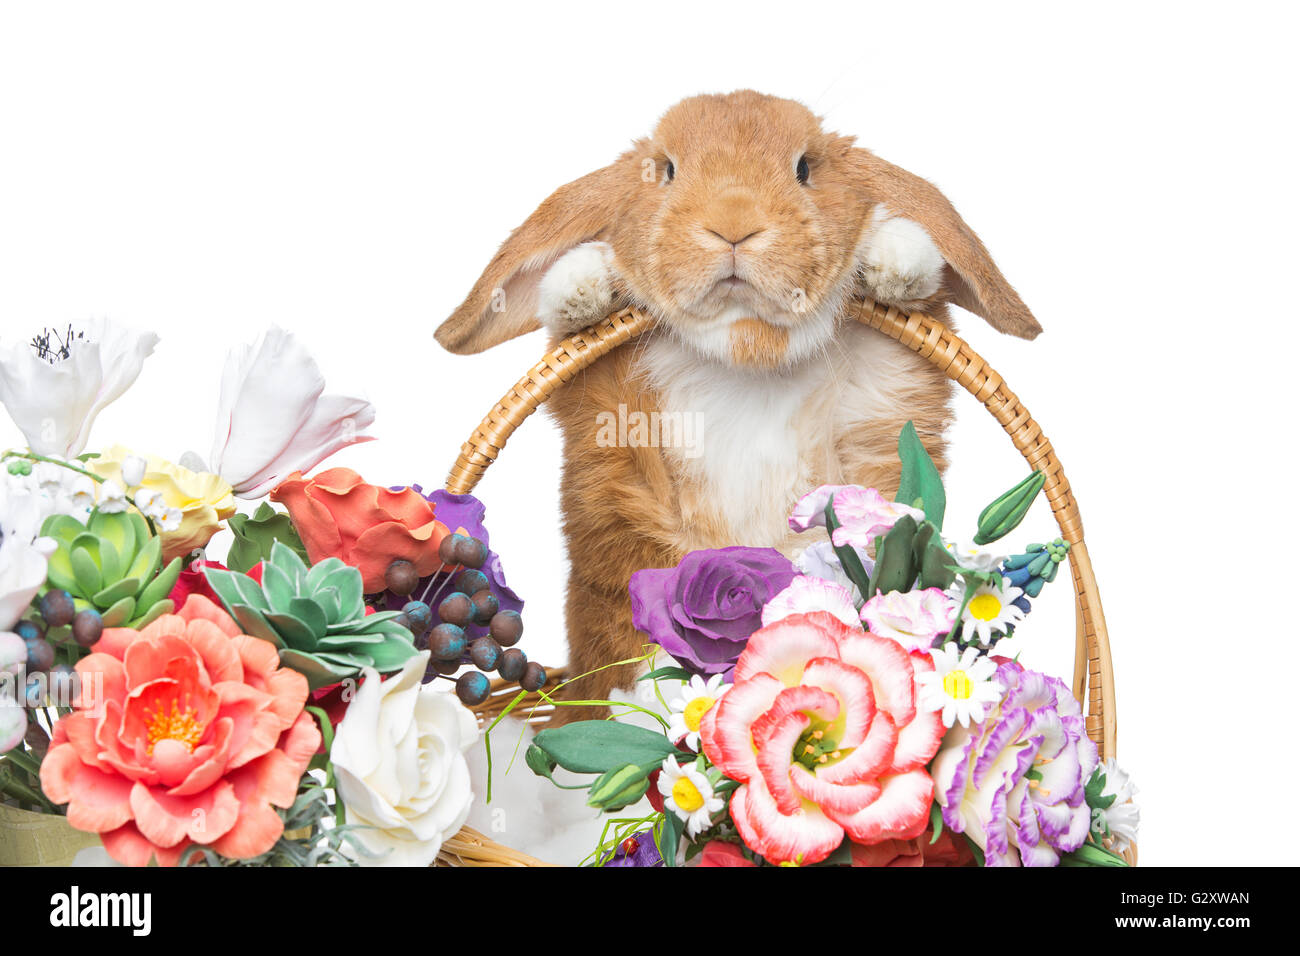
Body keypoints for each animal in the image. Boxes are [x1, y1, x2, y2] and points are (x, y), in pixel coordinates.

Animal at [435, 90, 1039, 711]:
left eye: (805, 168)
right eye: (666, 170)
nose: (734, 225)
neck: (747, 353)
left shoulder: (898, 385)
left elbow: (917, 292)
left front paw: (894, 258)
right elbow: (571, 317)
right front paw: (584, 283)